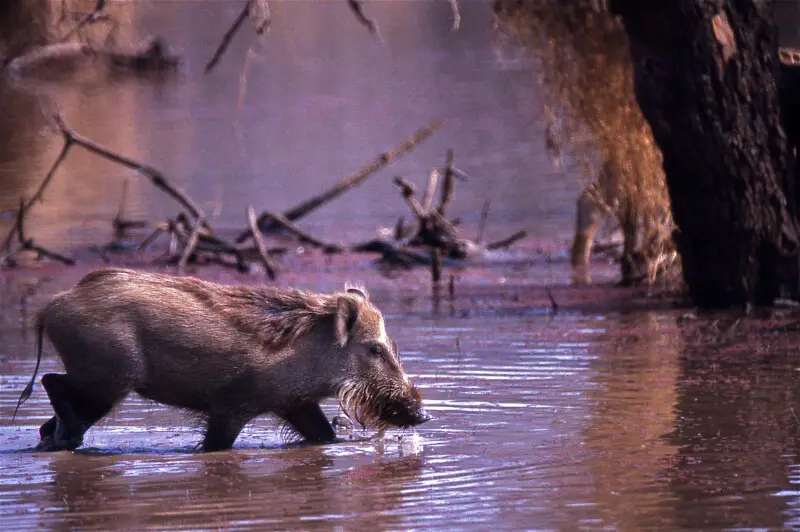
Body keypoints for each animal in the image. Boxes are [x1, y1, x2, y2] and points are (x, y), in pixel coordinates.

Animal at [14, 268, 430, 452]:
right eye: (374, 349)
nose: (423, 415)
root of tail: (49, 309)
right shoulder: (231, 406)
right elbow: (215, 448)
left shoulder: (296, 404)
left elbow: (324, 435)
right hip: (108, 377)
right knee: (51, 381)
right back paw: (67, 436)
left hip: (101, 383)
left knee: (52, 417)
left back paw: (60, 441)